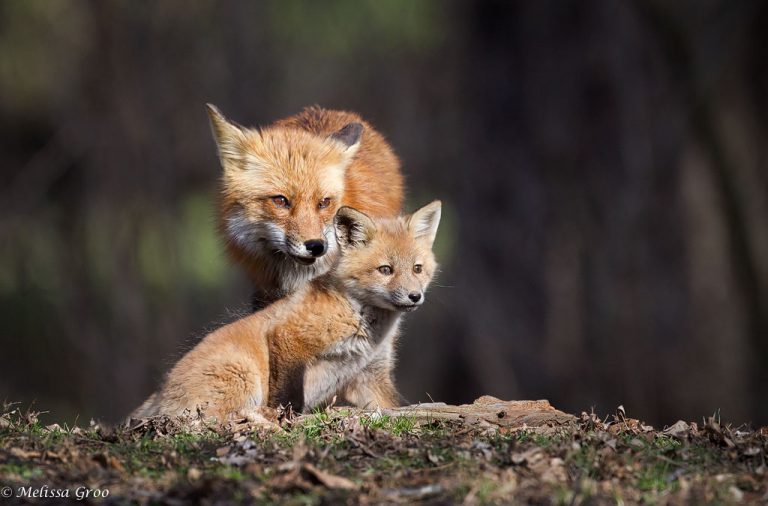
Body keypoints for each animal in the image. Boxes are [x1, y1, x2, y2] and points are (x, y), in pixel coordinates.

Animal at [130, 201, 441, 421]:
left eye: (417, 268)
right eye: (385, 270)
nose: (415, 296)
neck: (360, 317)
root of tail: (160, 393)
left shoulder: (369, 374)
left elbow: (396, 406)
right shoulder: (288, 337)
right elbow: (288, 401)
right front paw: (289, 421)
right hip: (244, 376)